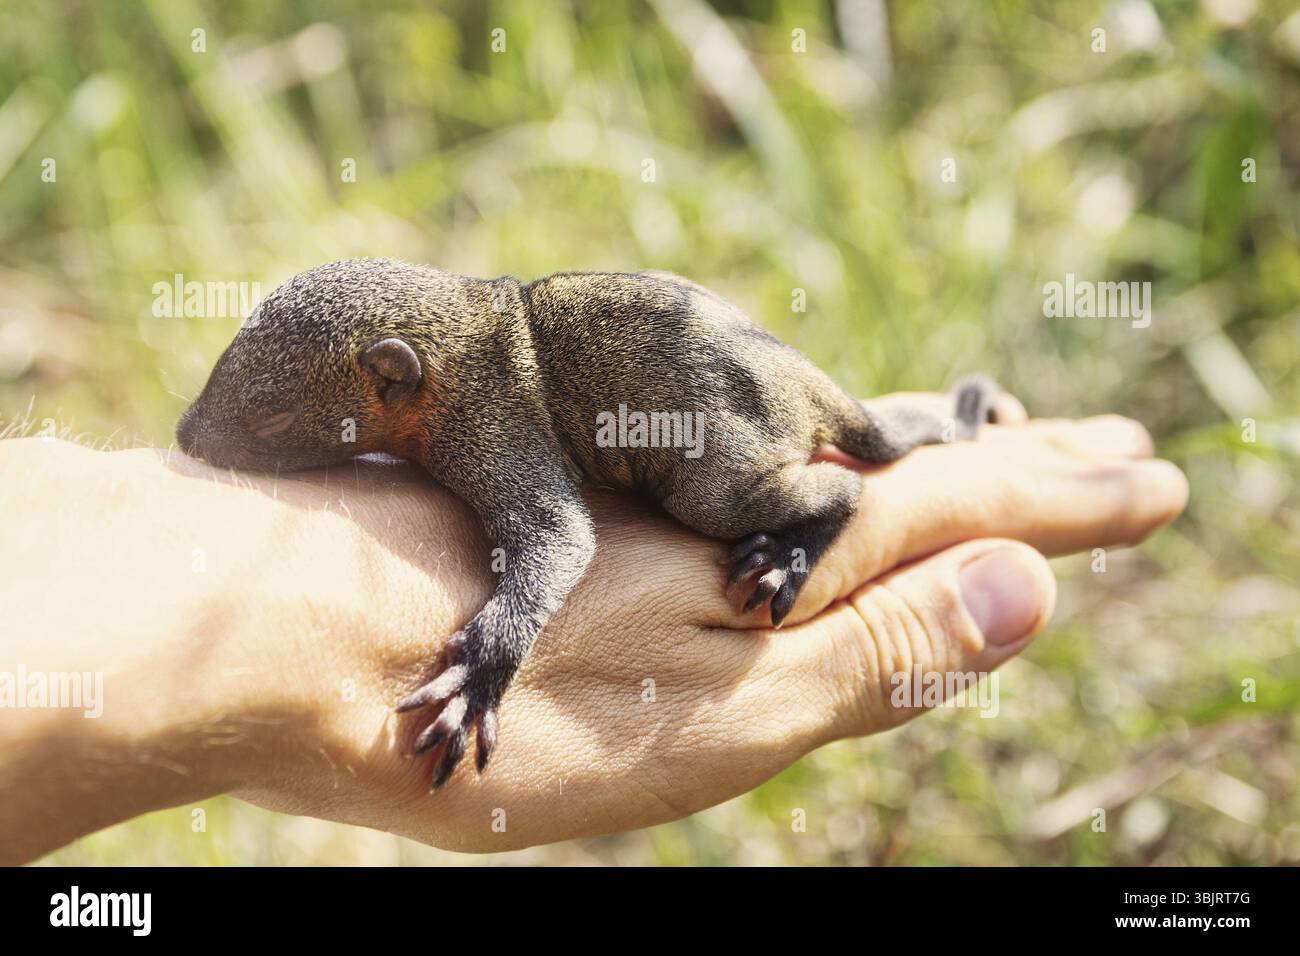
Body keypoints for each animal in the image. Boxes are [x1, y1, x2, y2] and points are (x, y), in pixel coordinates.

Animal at [177, 258, 999, 788]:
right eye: (219, 367)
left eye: (270, 414)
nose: (186, 435)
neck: (455, 347)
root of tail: (809, 380)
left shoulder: (492, 426)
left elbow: (558, 534)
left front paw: (480, 675)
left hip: (719, 469)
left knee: (833, 489)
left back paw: (789, 554)